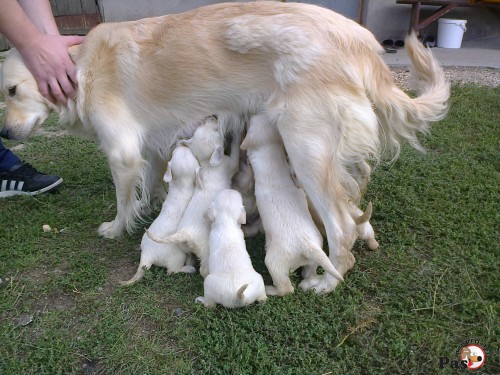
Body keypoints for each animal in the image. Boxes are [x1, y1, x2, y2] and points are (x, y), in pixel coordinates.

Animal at [120, 142, 199, 286]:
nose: (182, 143)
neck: (181, 185)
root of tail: (147, 256)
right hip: (177, 256)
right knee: (172, 270)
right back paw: (188, 268)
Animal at [146, 117, 240, 280]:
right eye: (216, 130)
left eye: (204, 125)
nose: (213, 116)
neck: (207, 164)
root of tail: (185, 234)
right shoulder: (230, 163)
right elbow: (235, 153)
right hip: (204, 250)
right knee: (202, 268)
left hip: (184, 247)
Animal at [239, 114, 342, 296]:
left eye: (251, 120)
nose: (248, 114)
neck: (272, 155)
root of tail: (308, 246)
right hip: (314, 256)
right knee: (309, 272)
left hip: (274, 262)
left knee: (286, 288)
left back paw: (270, 289)